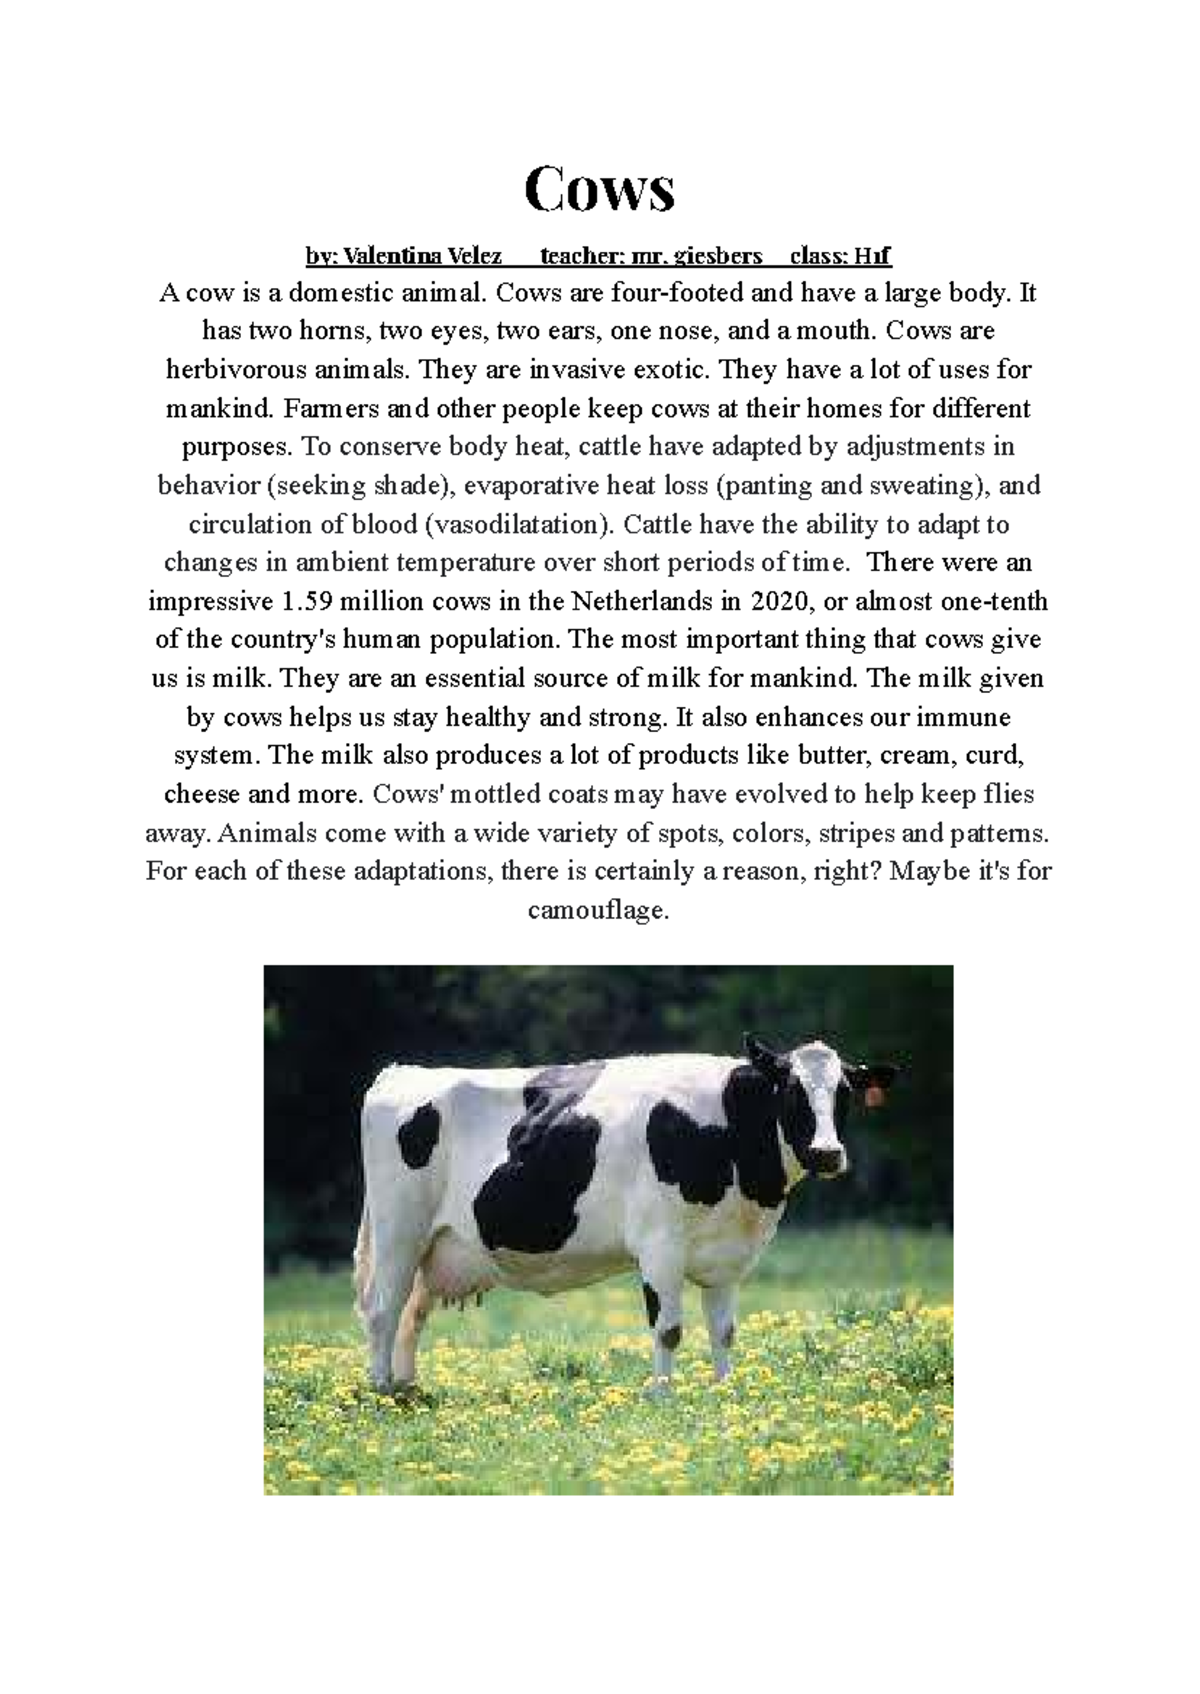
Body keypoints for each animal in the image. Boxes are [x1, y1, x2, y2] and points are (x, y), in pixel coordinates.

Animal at [353, 1036, 897, 1392]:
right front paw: (663, 1398)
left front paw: (725, 1394)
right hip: (398, 1230)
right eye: (790, 1091)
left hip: (436, 1245)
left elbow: (724, 1331)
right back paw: (382, 1393)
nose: (827, 1153)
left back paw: (409, 1391)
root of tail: (403, 1071)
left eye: (845, 1093)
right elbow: (669, 1329)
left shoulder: (727, 1256)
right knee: (383, 1311)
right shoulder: (660, 1245)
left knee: (411, 1314)